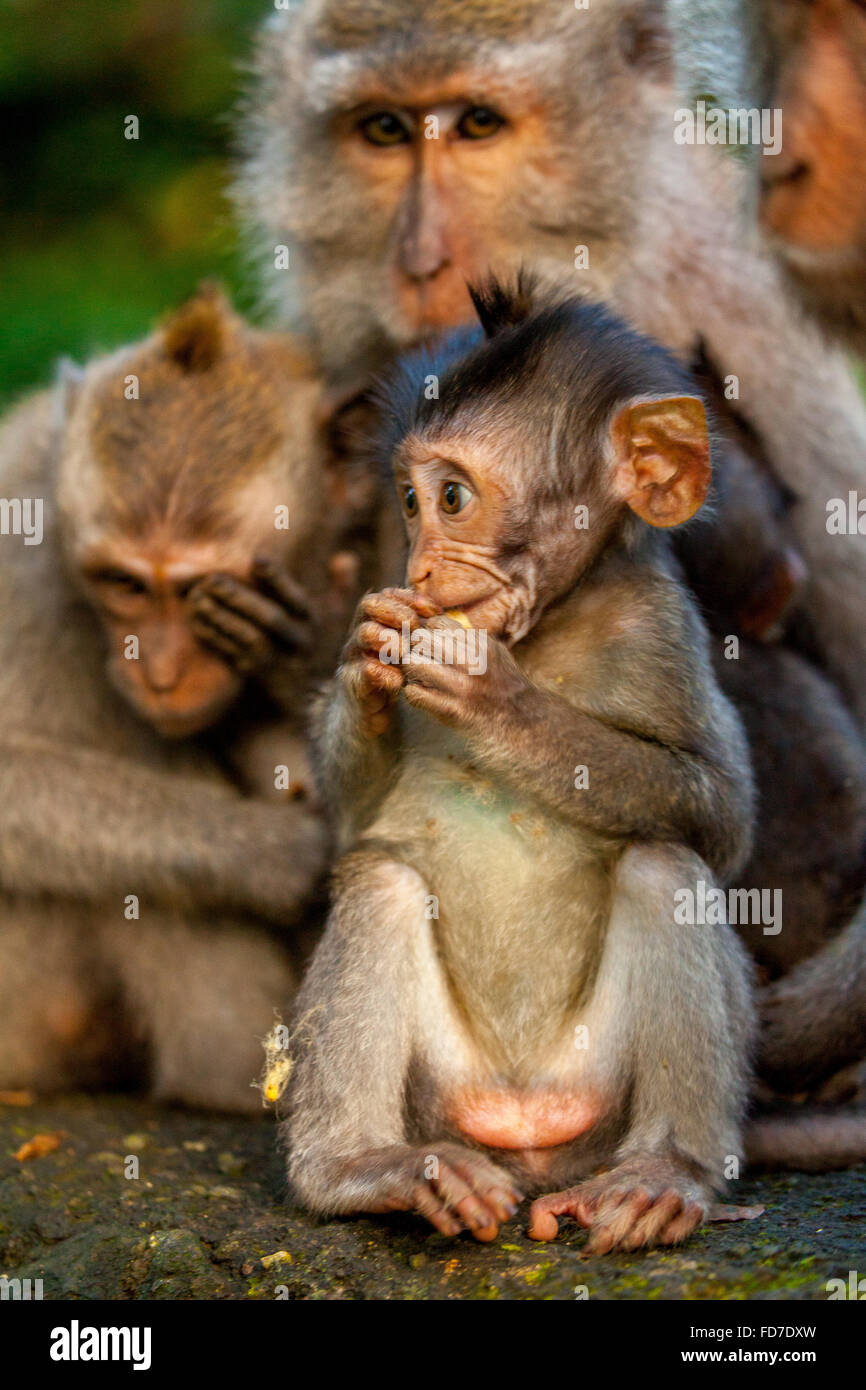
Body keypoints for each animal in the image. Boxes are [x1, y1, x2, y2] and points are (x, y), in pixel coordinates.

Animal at [282, 280, 757, 1252]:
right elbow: (352, 822)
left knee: (664, 867)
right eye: (409, 501)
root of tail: (528, 1128)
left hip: (597, 1095)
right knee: (381, 883)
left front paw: (498, 701)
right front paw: (368, 658)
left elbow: (723, 819)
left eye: (454, 496)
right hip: (444, 1094)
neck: (549, 627)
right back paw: (369, 1169)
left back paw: (665, 1176)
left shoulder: (663, 634)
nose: (421, 565)